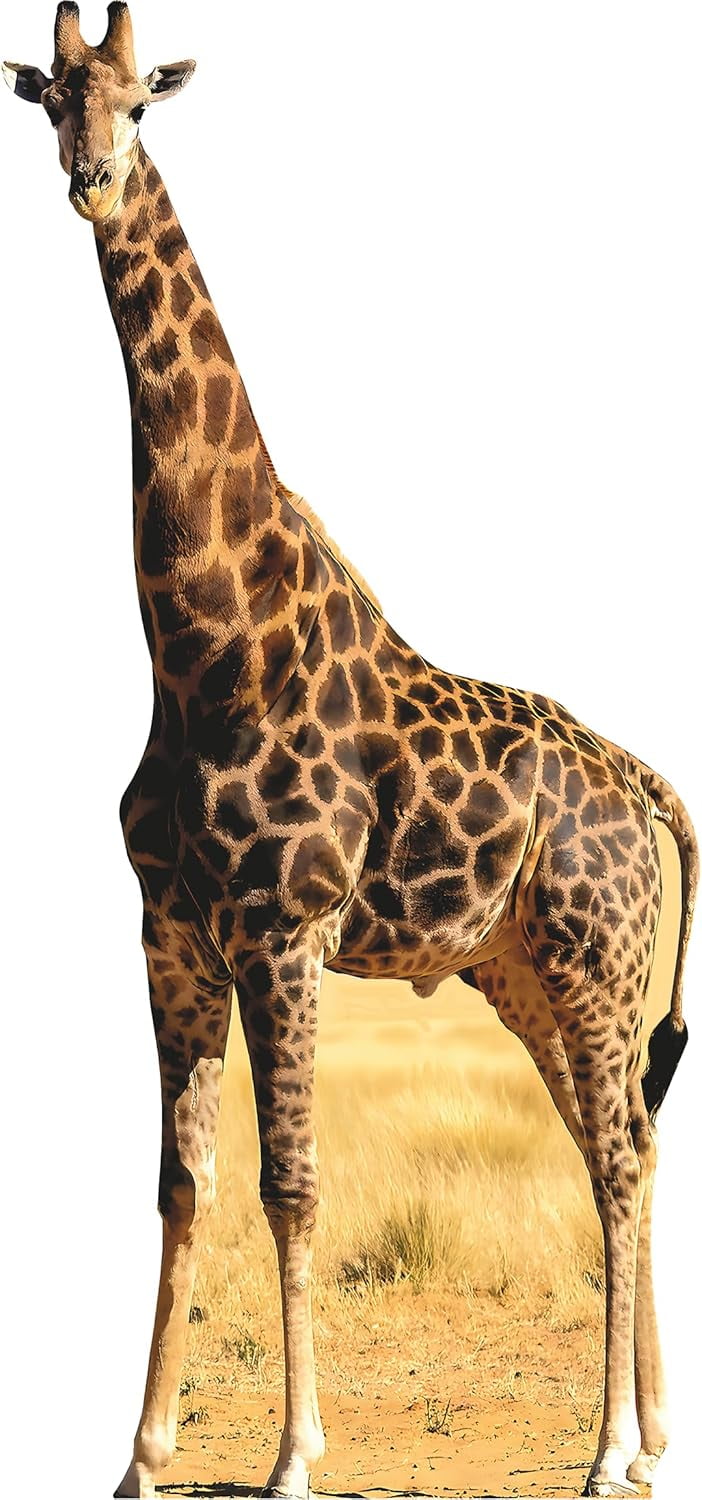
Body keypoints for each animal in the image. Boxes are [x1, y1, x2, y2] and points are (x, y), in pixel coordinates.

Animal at [3, 6, 697, 1499]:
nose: (91, 181)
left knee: (620, 1156)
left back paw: (611, 1450)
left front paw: (291, 1455)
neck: (205, 643)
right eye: (53, 102)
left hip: (597, 963)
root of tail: (647, 786)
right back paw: (652, 1429)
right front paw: (141, 1457)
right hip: (529, 974)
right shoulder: (171, 931)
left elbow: (294, 1182)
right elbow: (183, 1181)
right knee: (619, 1145)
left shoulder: (284, 929)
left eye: (143, 102)